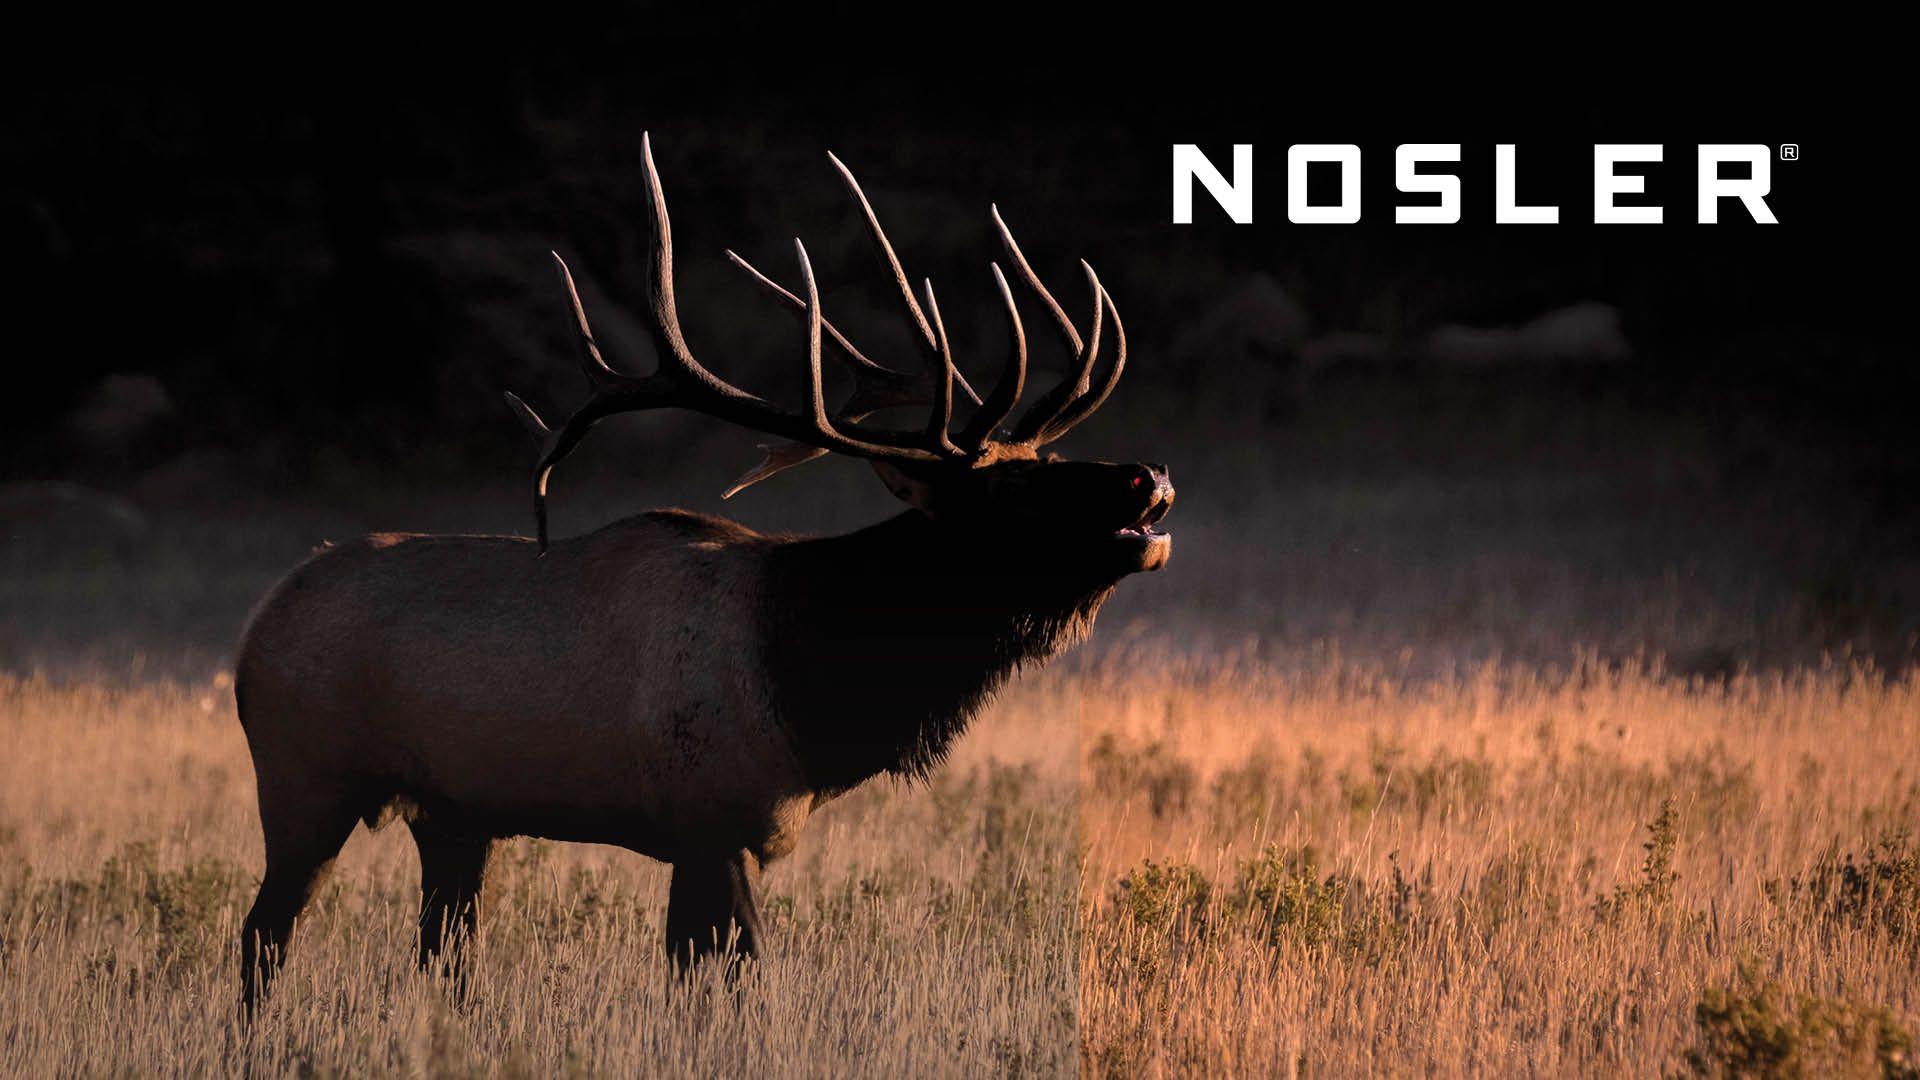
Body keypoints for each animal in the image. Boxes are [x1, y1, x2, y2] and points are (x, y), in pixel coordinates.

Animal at [233, 134, 1172, 1012]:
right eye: (1009, 486)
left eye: (1044, 458)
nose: (1149, 477)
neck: (811, 686)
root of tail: (255, 627)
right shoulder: (715, 817)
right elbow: (748, 974)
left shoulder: (699, 835)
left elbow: (690, 976)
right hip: (303, 777)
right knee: (263, 933)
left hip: (451, 815)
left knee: (443, 950)